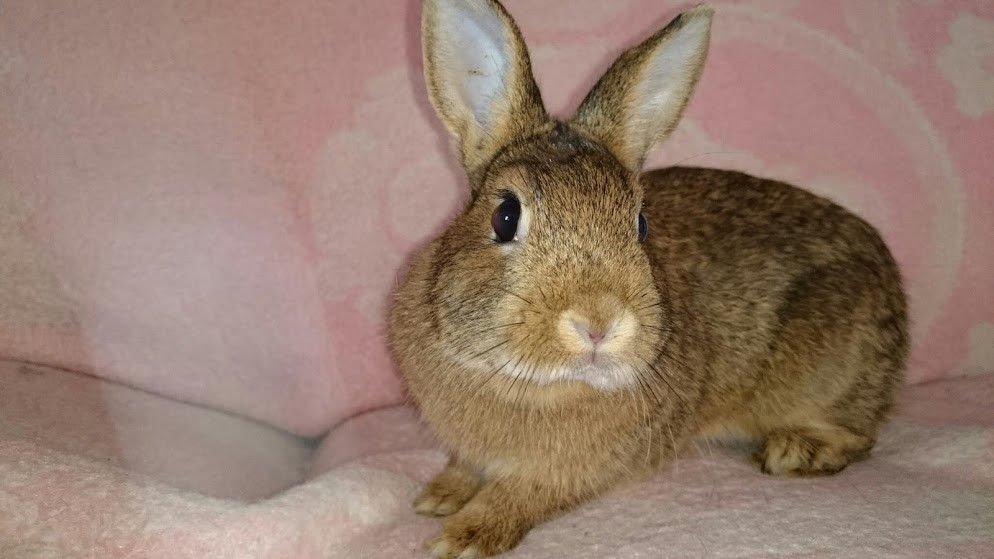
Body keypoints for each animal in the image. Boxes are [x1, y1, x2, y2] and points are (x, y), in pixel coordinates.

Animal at [388, 1, 910, 557]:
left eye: (640, 223)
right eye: (505, 216)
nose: (599, 322)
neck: (534, 384)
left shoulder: (573, 471)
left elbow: (522, 495)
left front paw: (460, 538)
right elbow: (464, 466)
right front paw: (438, 497)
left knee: (860, 435)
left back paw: (795, 451)